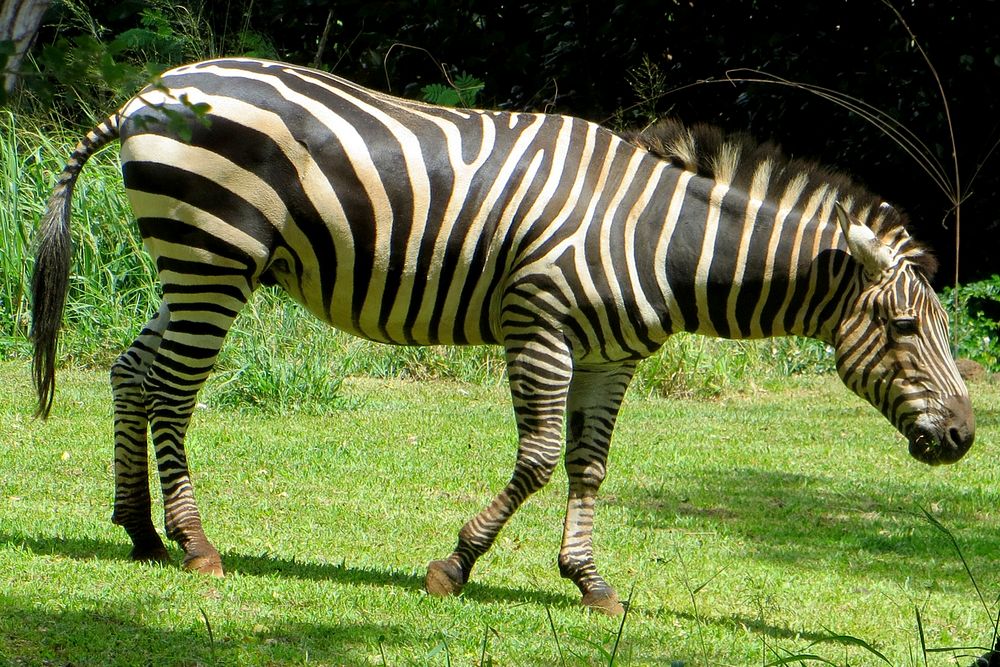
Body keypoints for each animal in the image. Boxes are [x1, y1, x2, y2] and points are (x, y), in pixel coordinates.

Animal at [31, 57, 974, 615]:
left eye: (938, 325)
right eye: (901, 326)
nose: (966, 437)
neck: (662, 241)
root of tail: (150, 92)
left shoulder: (611, 356)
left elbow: (589, 464)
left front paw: (590, 581)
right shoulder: (541, 322)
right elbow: (538, 456)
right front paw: (455, 565)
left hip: (193, 264)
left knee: (130, 372)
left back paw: (139, 530)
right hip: (212, 256)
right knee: (169, 390)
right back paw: (193, 543)